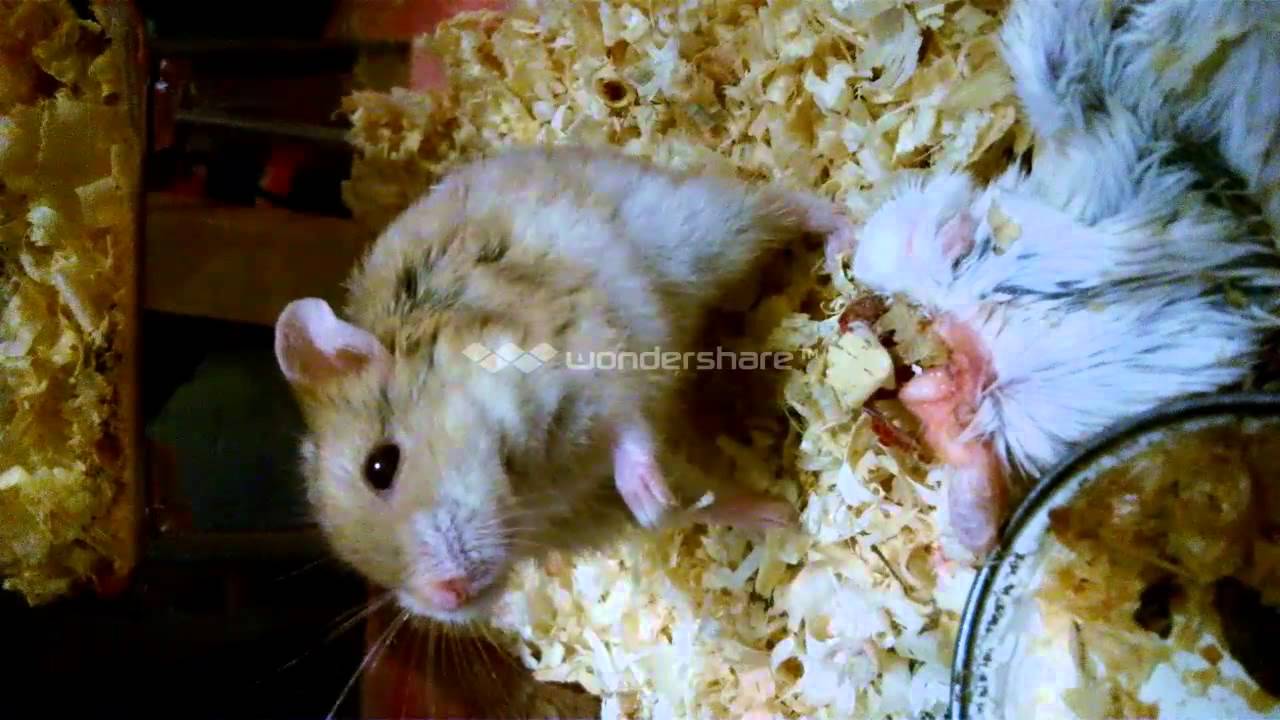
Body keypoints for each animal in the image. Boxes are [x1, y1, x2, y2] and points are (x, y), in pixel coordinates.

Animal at [273, 144, 853, 627]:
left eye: (381, 466)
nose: (449, 596)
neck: (530, 479)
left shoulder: (595, 363)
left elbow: (630, 433)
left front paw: (648, 496)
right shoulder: (596, 502)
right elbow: (696, 501)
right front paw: (778, 517)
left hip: (694, 228)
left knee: (775, 202)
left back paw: (844, 232)